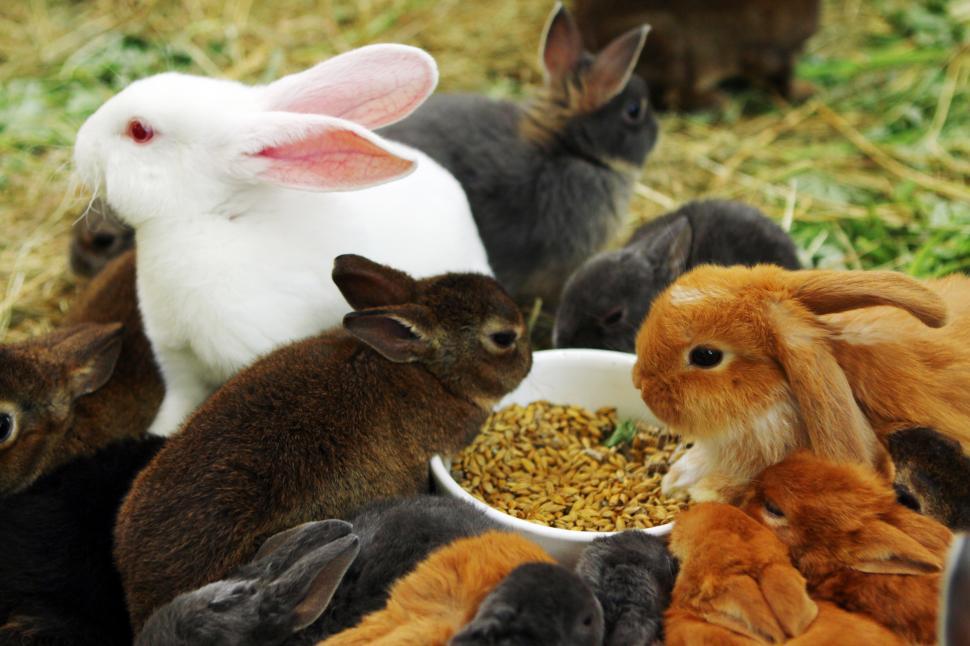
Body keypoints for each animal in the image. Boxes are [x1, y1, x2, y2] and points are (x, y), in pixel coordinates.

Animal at [572, 0, 821, 111]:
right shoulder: (767, 51)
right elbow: (780, 77)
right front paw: (805, 91)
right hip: (666, 41)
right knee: (668, 96)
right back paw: (715, 99)